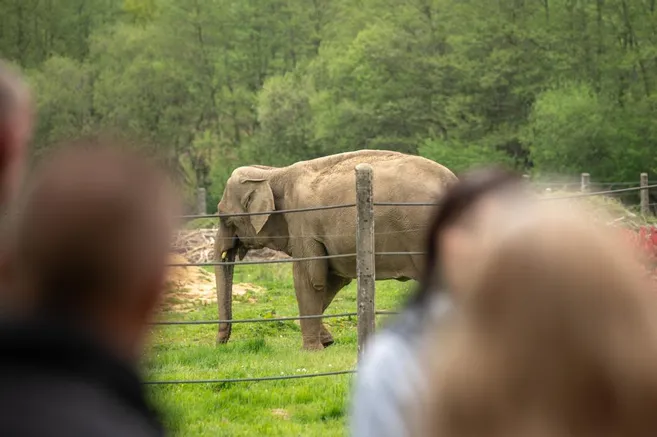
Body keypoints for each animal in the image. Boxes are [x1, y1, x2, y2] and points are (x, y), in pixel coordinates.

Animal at [214, 150, 458, 350]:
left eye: (224, 217)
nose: (221, 344)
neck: (273, 172)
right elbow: (333, 280)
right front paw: (327, 341)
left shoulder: (302, 224)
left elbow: (309, 278)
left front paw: (311, 350)